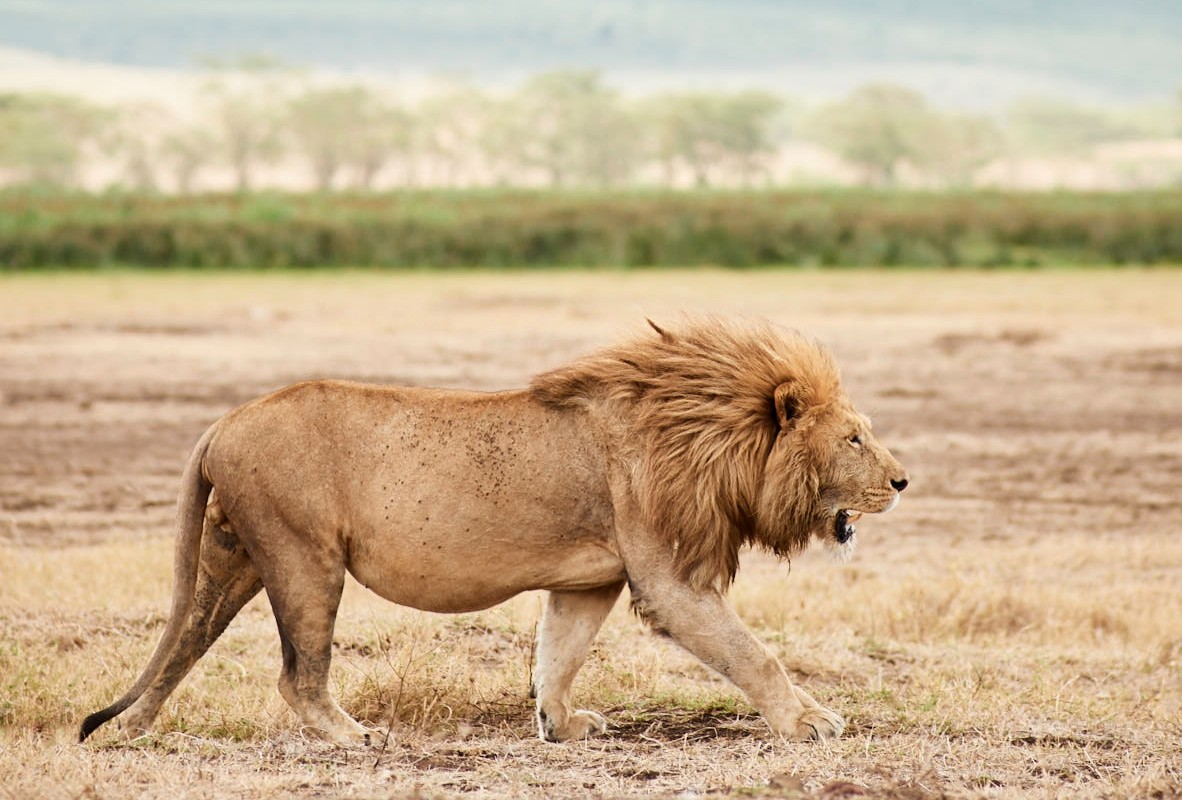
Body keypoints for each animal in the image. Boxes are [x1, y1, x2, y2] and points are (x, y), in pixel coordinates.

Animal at [79, 316, 908, 746]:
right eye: (855, 439)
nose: (903, 481)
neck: (708, 434)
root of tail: (222, 422)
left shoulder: (589, 581)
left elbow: (558, 656)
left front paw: (561, 725)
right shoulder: (669, 579)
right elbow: (752, 654)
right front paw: (813, 721)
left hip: (235, 557)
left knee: (185, 641)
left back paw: (132, 729)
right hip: (302, 555)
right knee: (296, 674)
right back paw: (352, 736)